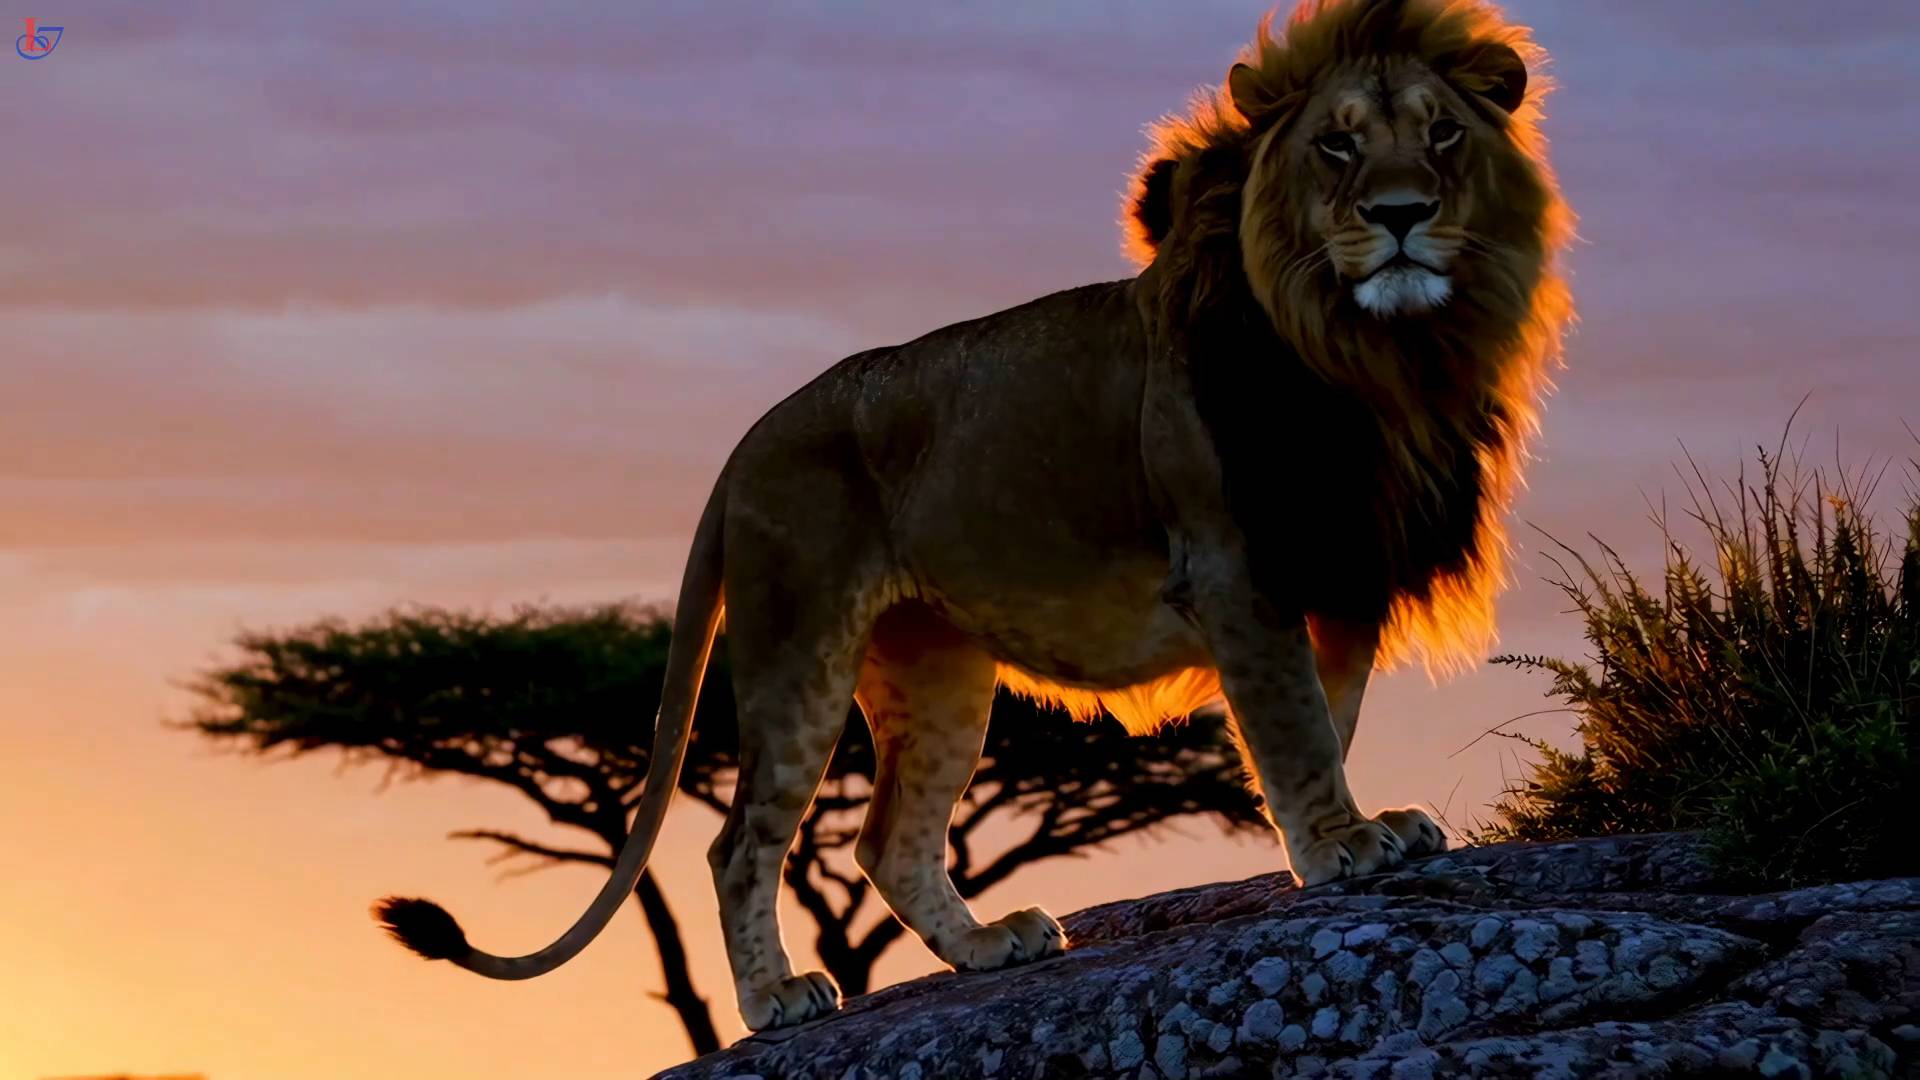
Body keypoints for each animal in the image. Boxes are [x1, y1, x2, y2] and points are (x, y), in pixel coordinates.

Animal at [374, 0, 1572, 1033]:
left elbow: (1333, 714)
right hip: (798, 648)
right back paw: (776, 1000)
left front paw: (1354, 832)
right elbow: (1297, 730)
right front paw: (1342, 844)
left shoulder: (1337, 566)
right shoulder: (1238, 567)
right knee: (742, 843)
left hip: (936, 669)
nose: (1402, 214)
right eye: (1336, 146)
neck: (1380, 357)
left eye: (1443, 135)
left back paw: (990, 946)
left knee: (885, 842)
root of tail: (746, 440)